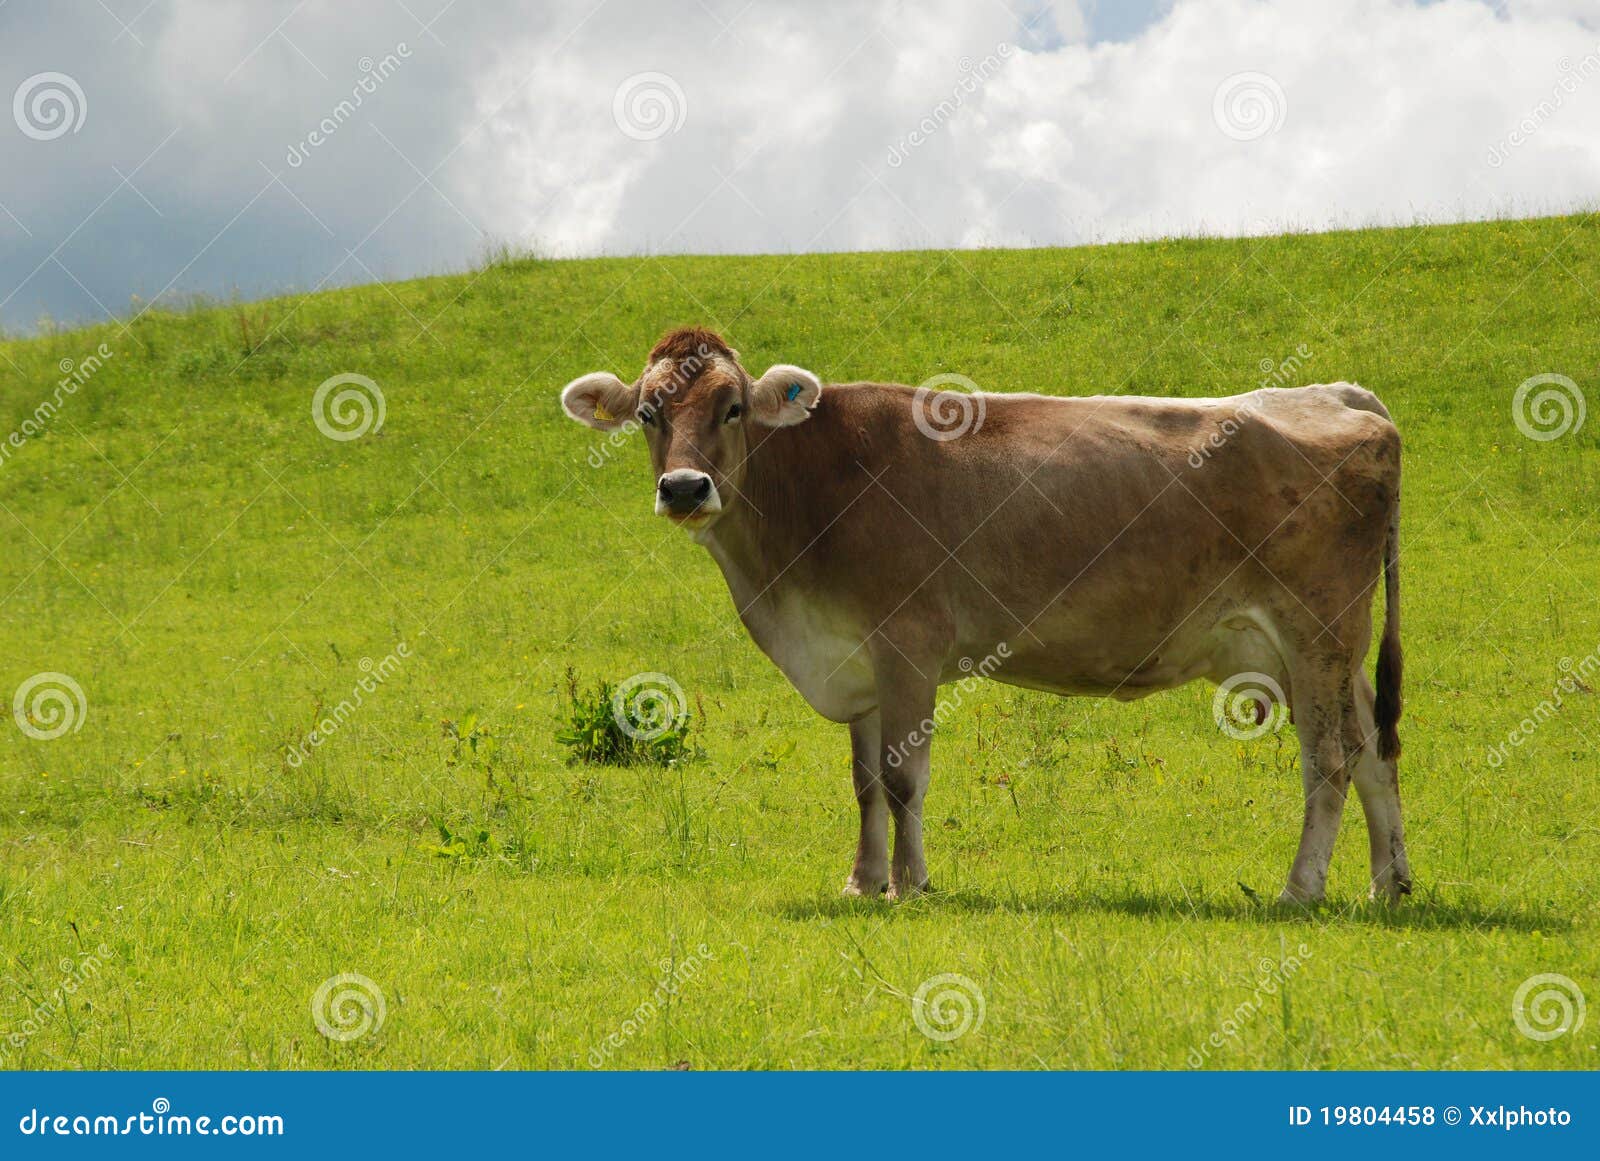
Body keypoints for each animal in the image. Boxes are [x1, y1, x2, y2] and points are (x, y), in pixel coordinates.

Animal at [560, 327, 1412, 905]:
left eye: (734, 407)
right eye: (647, 413)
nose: (684, 488)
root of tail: (1339, 394)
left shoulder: (907, 643)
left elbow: (902, 777)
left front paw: (910, 884)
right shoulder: (855, 662)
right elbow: (864, 784)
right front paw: (862, 880)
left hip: (1315, 629)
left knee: (1329, 758)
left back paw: (1301, 889)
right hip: (1318, 652)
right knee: (1374, 750)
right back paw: (1388, 883)